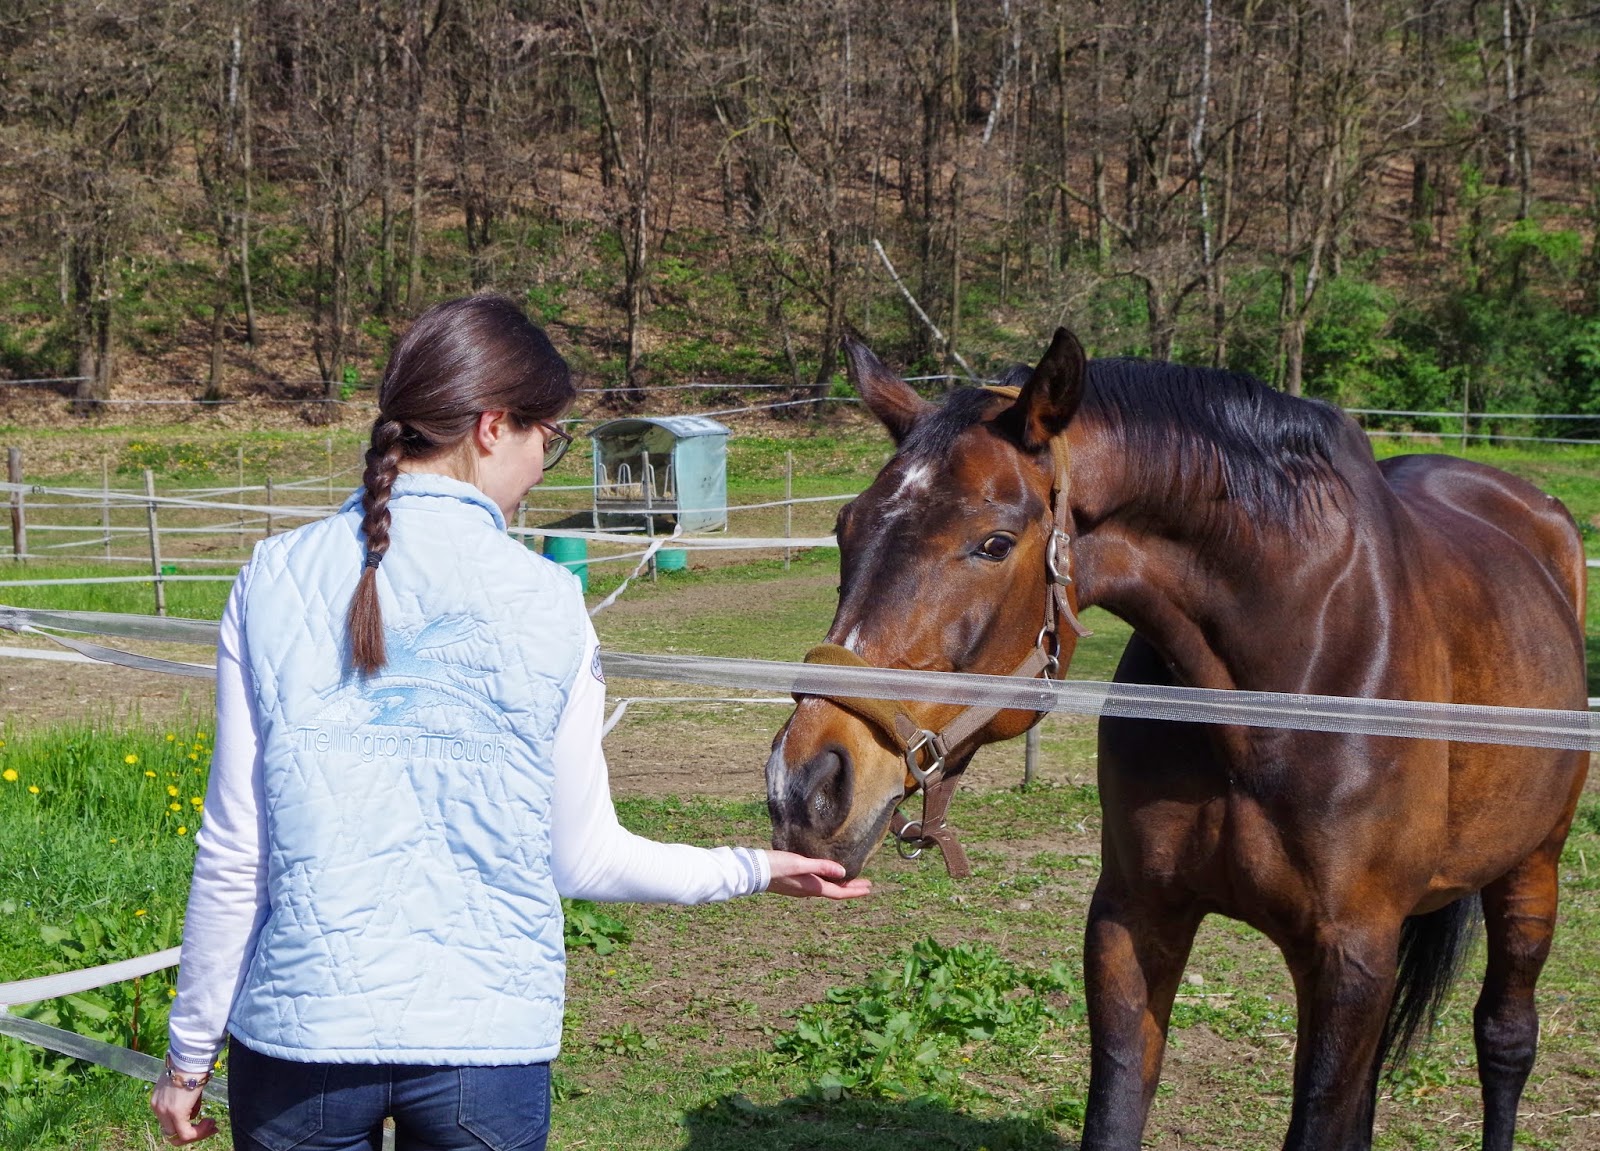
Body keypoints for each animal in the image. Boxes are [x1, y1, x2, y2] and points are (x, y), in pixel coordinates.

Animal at [764, 328, 1590, 1151]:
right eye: (844, 528)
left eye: (993, 543)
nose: (804, 786)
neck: (1277, 688)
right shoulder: (1135, 917)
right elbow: (1120, 1107)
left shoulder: (1351, 951)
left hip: (1532, 866)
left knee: (1505, 1038)